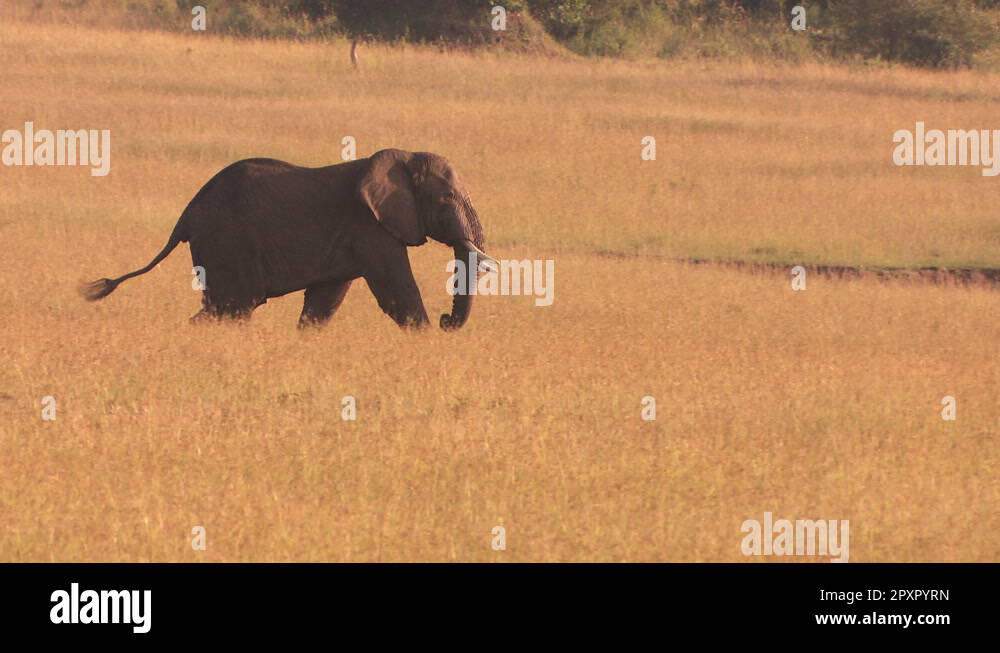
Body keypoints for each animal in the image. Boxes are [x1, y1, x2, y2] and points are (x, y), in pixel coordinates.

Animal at [80, 148, 495, 330]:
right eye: (446, 198)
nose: (446, 319)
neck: (405, 159)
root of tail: (186, 216)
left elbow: (325, 300)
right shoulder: (371, 227)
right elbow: (398, 292)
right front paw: (424, 335)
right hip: (226, 244)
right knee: (234, 307)